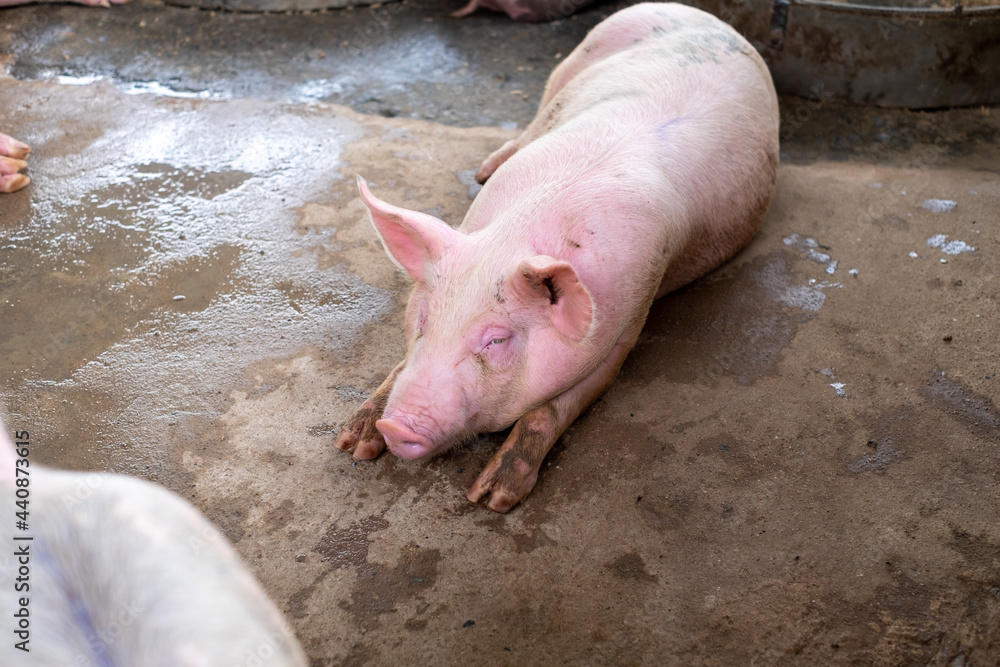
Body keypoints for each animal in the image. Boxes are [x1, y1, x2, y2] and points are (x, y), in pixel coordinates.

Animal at [335, 3, 779, 513]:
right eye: (422, 318)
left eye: (496, 340)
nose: (396, 425)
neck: (515, 236)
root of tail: (693, 10)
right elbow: (400, 366)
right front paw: (352, 444)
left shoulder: (629, 319)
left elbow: (552, 407)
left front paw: (493, 497)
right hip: (569, 65)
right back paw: (483, 170)